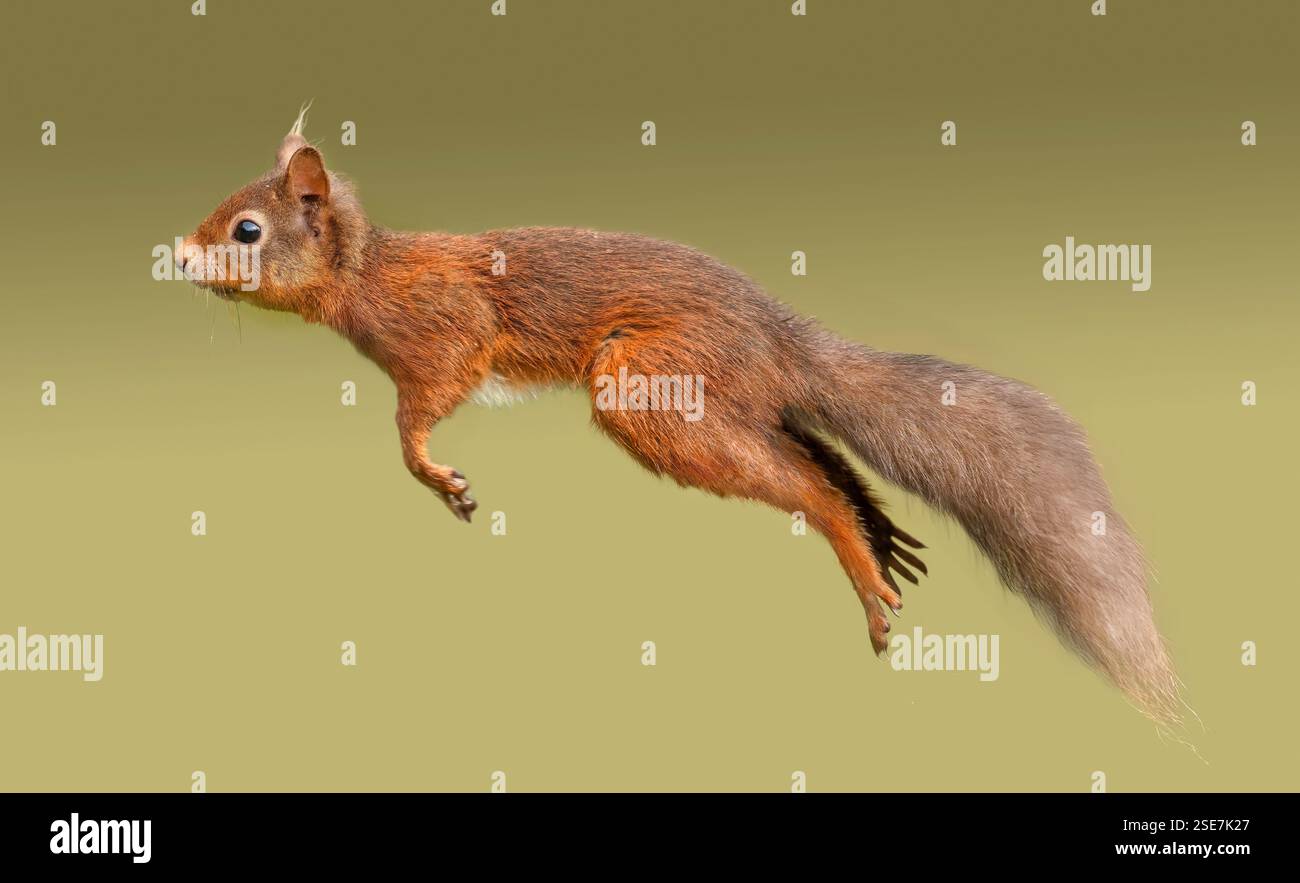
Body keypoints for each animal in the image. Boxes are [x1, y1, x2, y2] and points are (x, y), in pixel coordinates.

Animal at [179, 109, 1180, 724]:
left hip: (647, 388)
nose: (179, 256)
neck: (369, 277)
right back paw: (880, 534)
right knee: (814, 448)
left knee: (804, 481)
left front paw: (440, 478)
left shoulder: (446, 338)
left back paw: (862, 566)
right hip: (706, 398)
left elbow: (415, 422)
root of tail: (776, 338)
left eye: (248, 232)